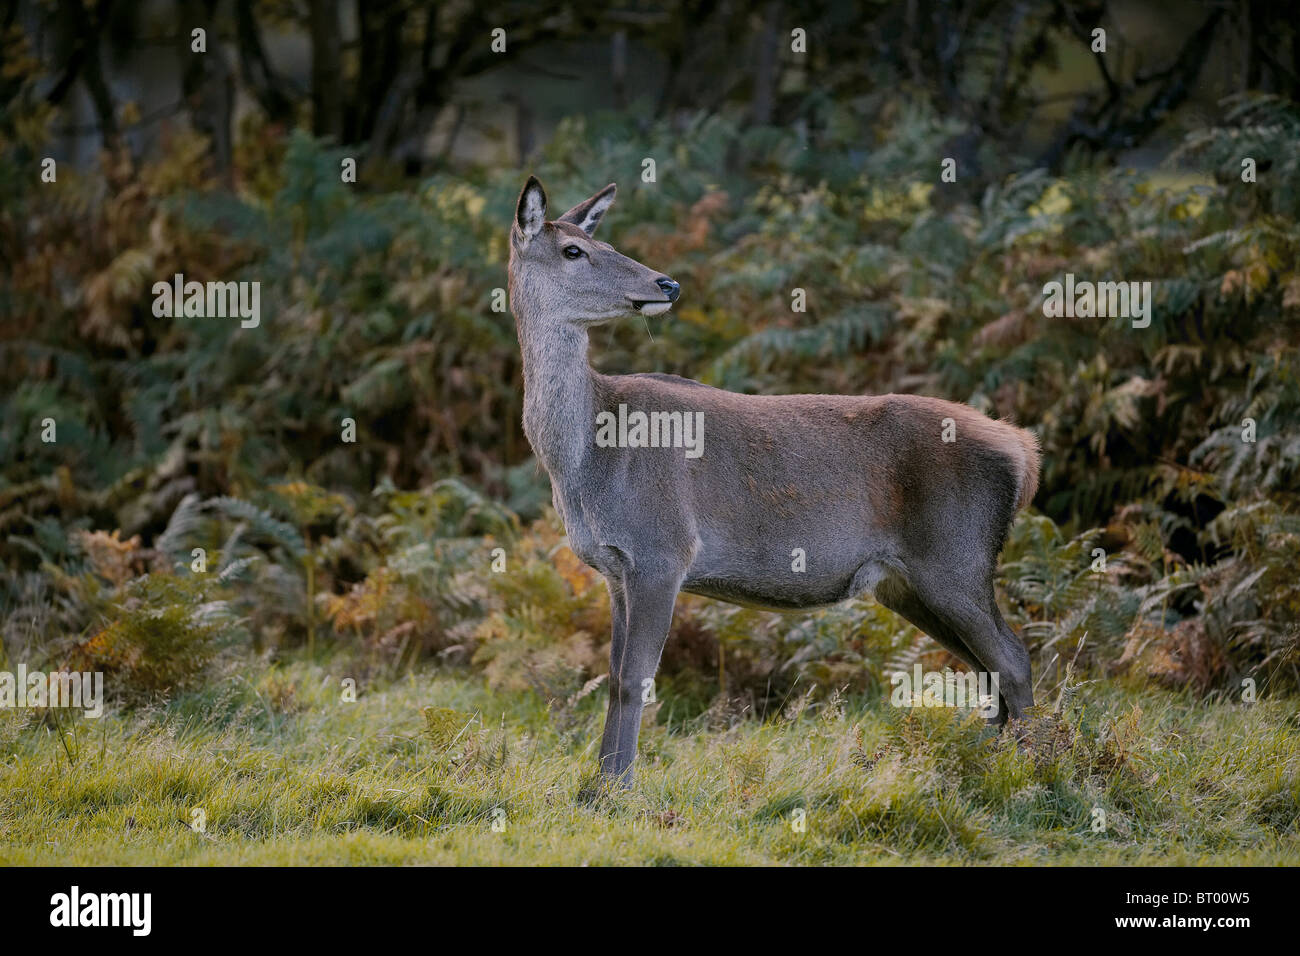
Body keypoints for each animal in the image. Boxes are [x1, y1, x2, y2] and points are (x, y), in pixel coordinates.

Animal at [507, 176, 1041, 784]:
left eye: (604, 243)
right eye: (574, 250)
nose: (667, 282)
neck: (584, 465)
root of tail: (1023, 451)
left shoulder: (663, 550)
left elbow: (631, 680)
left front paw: (611, 790)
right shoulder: (616, 569)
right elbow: (617, 675)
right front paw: (596, 784)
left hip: (957, 556)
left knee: (1013, 659)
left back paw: (1034, 769)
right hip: (907, 582)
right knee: (987, 669)